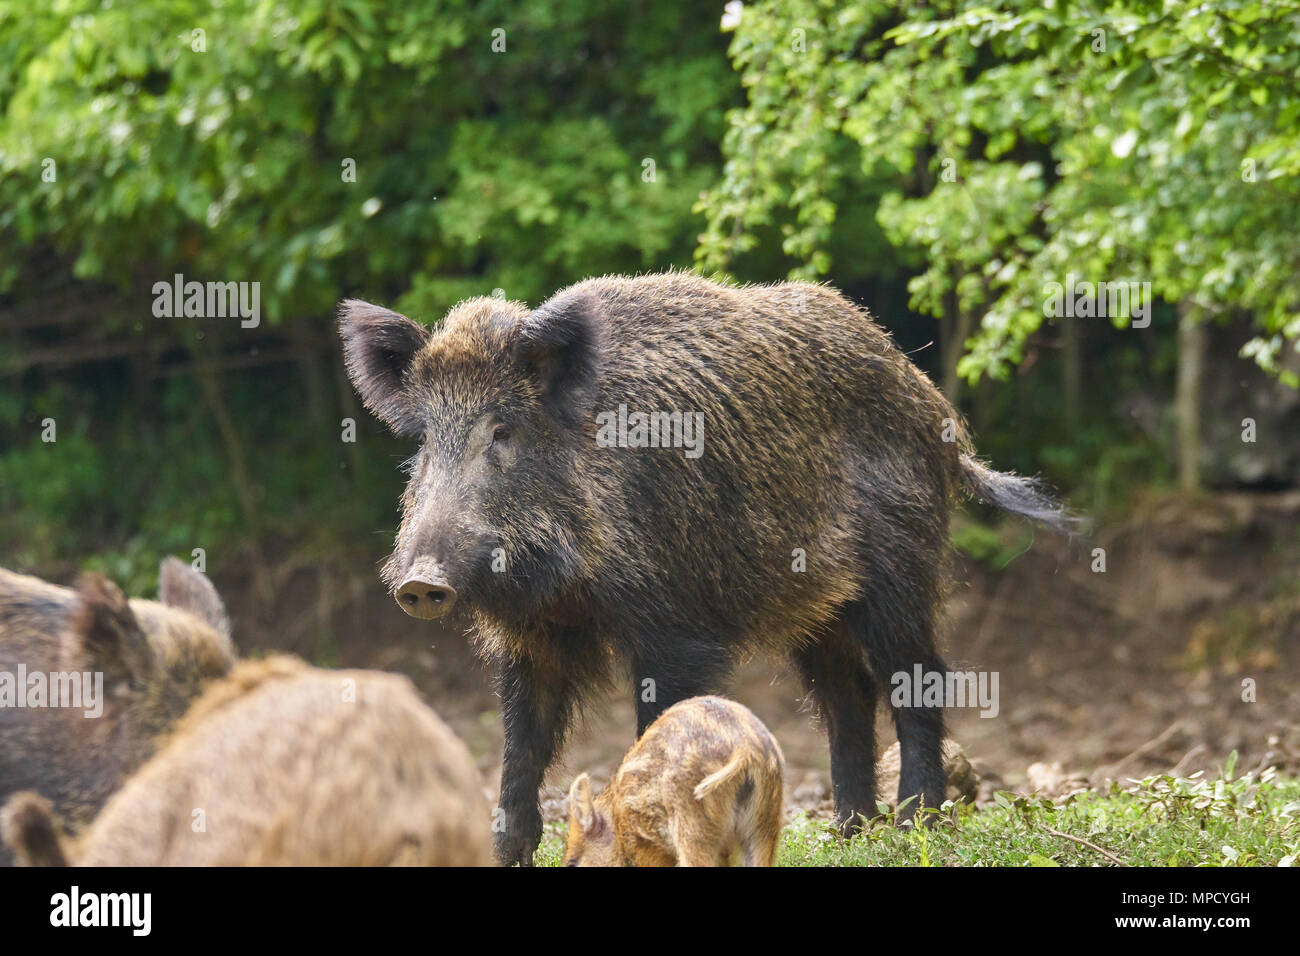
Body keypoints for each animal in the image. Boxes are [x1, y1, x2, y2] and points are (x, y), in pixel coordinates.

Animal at [564, 696, 784, 867]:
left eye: (572, 864)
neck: (617, 821)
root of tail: (746, 748)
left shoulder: (645, 844)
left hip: (693, 827)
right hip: (764, 824)